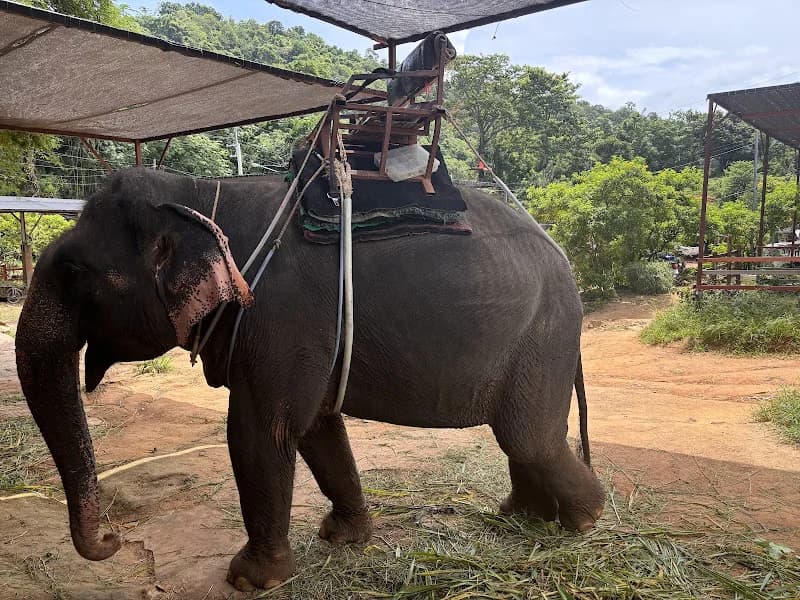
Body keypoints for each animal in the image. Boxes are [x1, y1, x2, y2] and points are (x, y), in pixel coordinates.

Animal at [15, 168, 605, 591]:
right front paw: (344, 538)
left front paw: (250, 580)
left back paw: (585, 521)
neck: (197, 195)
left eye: (73, 273)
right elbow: (316, 426)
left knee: (529, 437)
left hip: (543, 334)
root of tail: (564, 259)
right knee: (528, 437)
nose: (112, 539)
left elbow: (260, 433)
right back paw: (523, 517)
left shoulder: (282, 314)